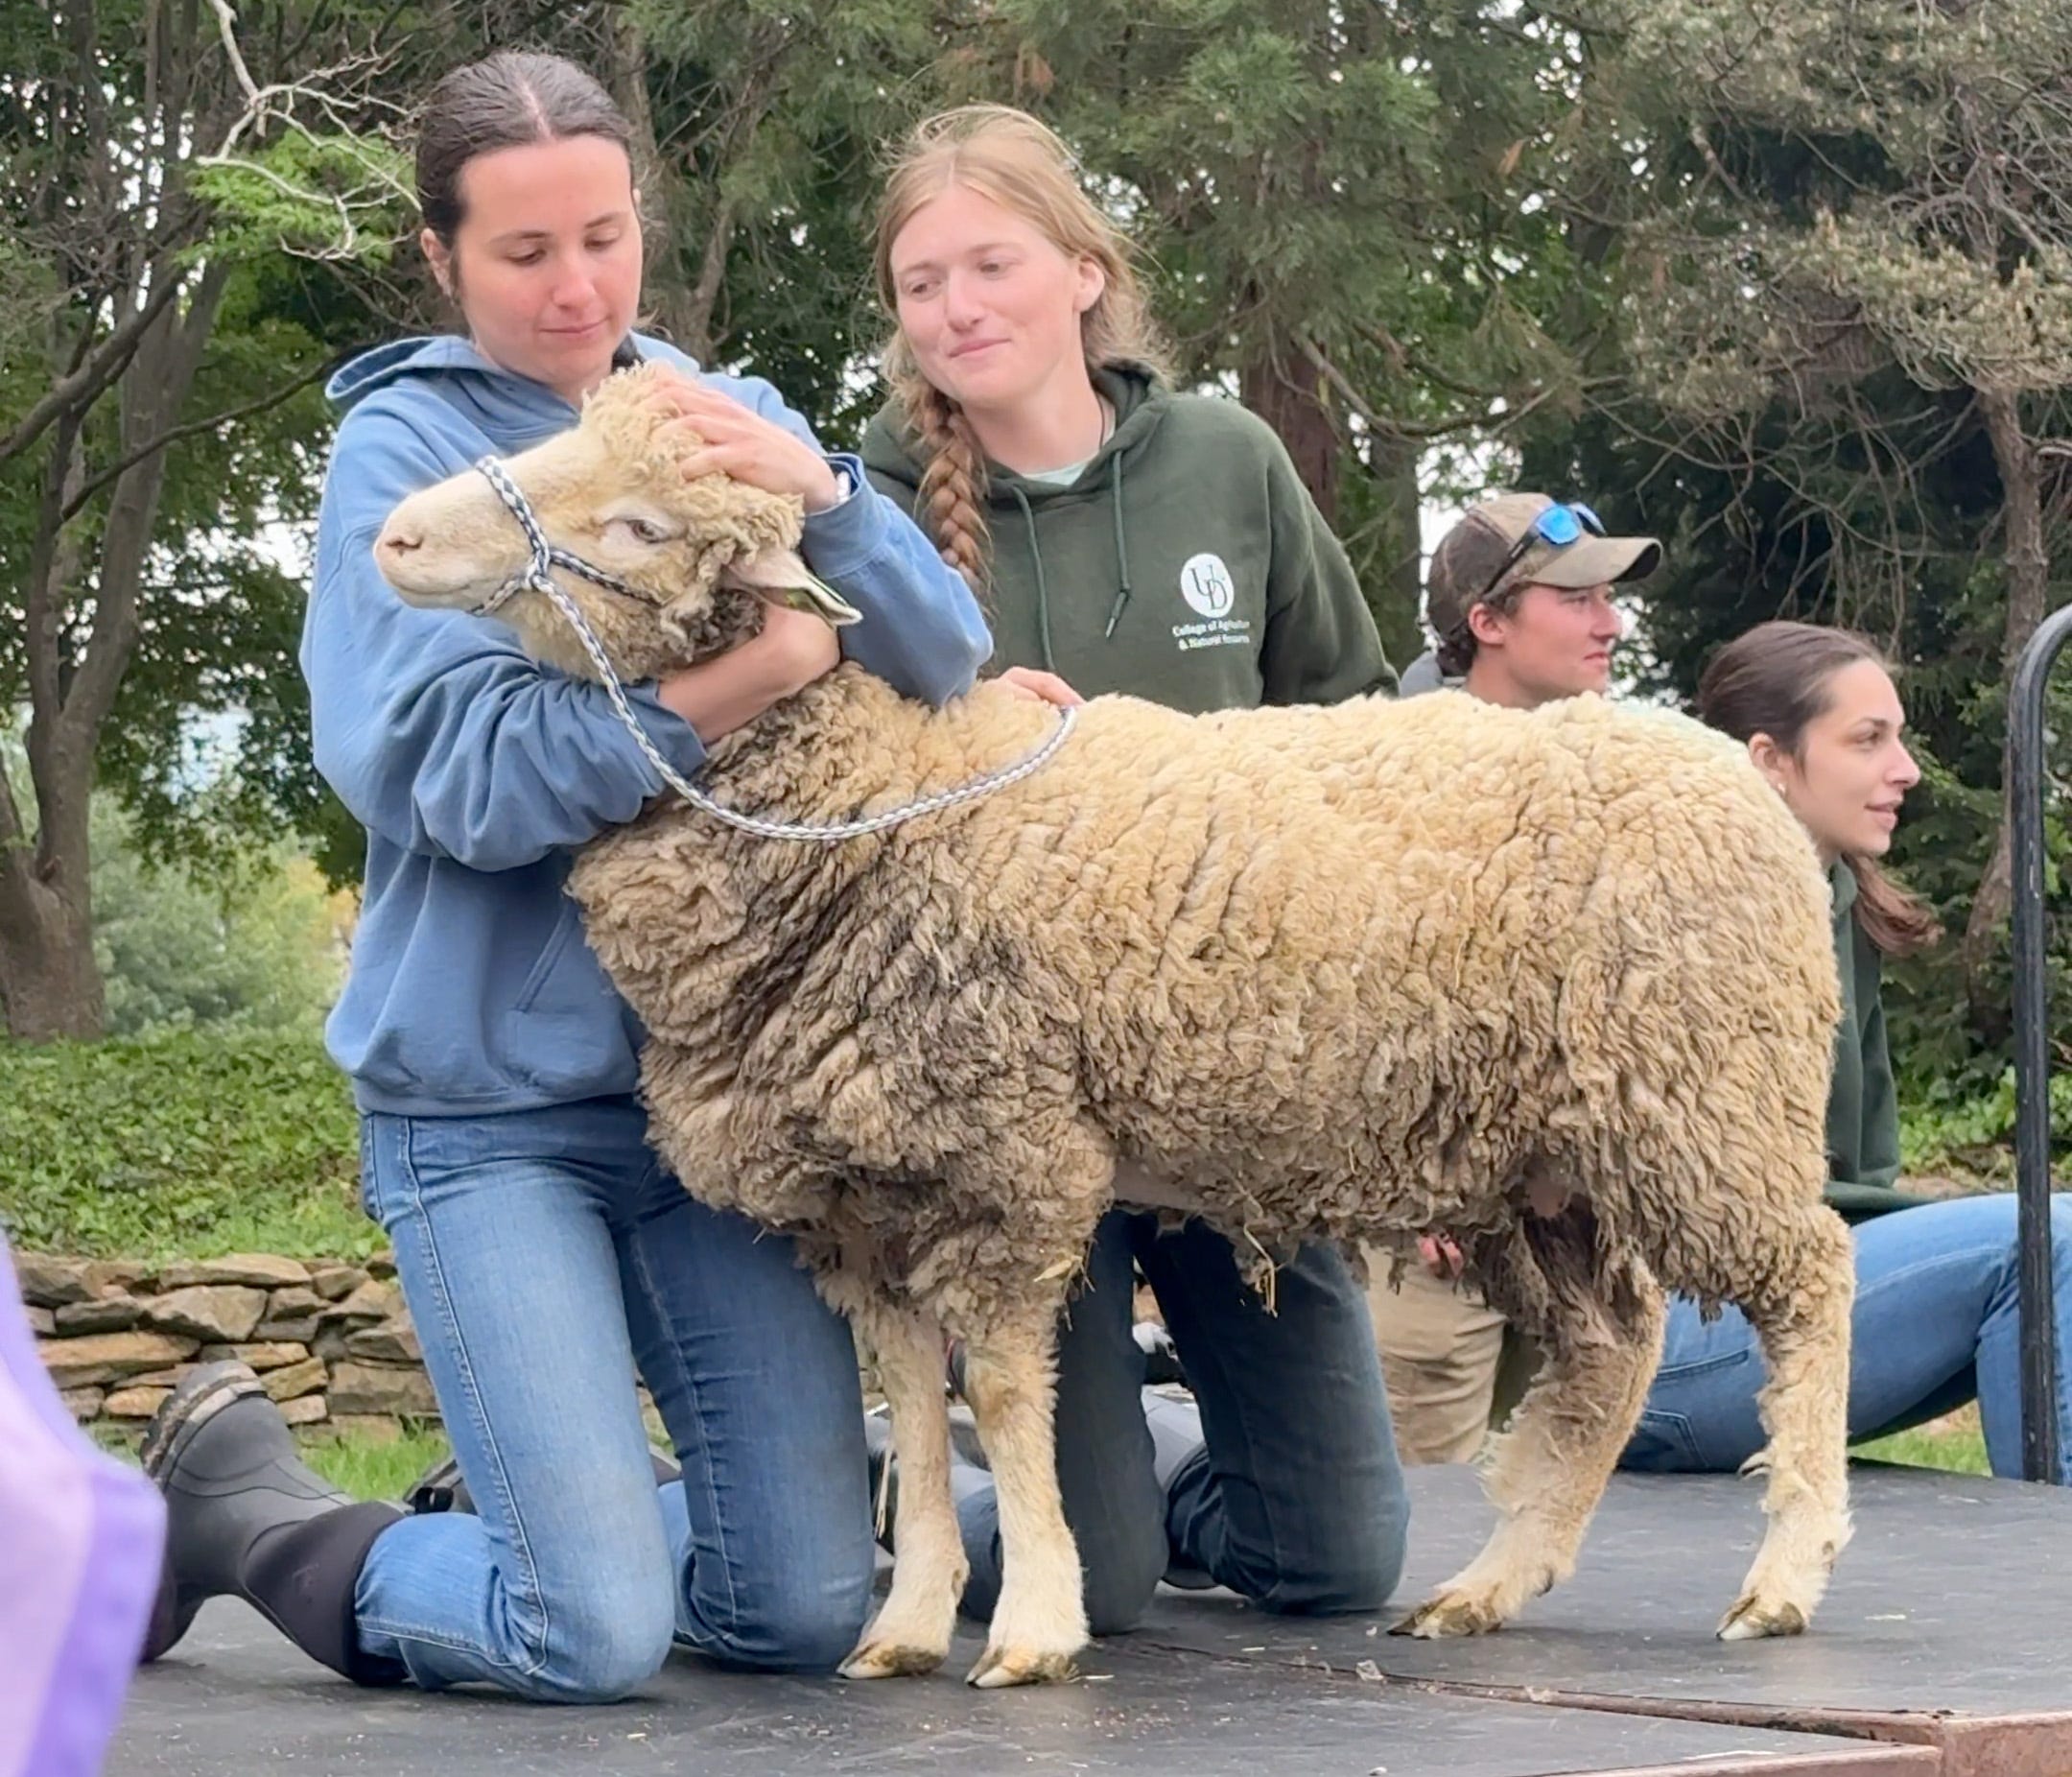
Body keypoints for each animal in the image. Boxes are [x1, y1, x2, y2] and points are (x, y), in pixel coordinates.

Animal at [372, 363, 1856, 1691]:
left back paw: (1782, 1578)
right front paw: (907, 1622)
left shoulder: (1006, 1159)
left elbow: (1002, 1402)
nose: (395, 538)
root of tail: (1724, 770)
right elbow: (914, 1405)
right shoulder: (862, 1197)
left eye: (639, 525)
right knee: (1612, 1350)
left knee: (1811, 1280)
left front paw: (1033, 1628)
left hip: (1709, 1092)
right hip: (1538, 1160)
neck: (878, 796)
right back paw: (1489, 1586)